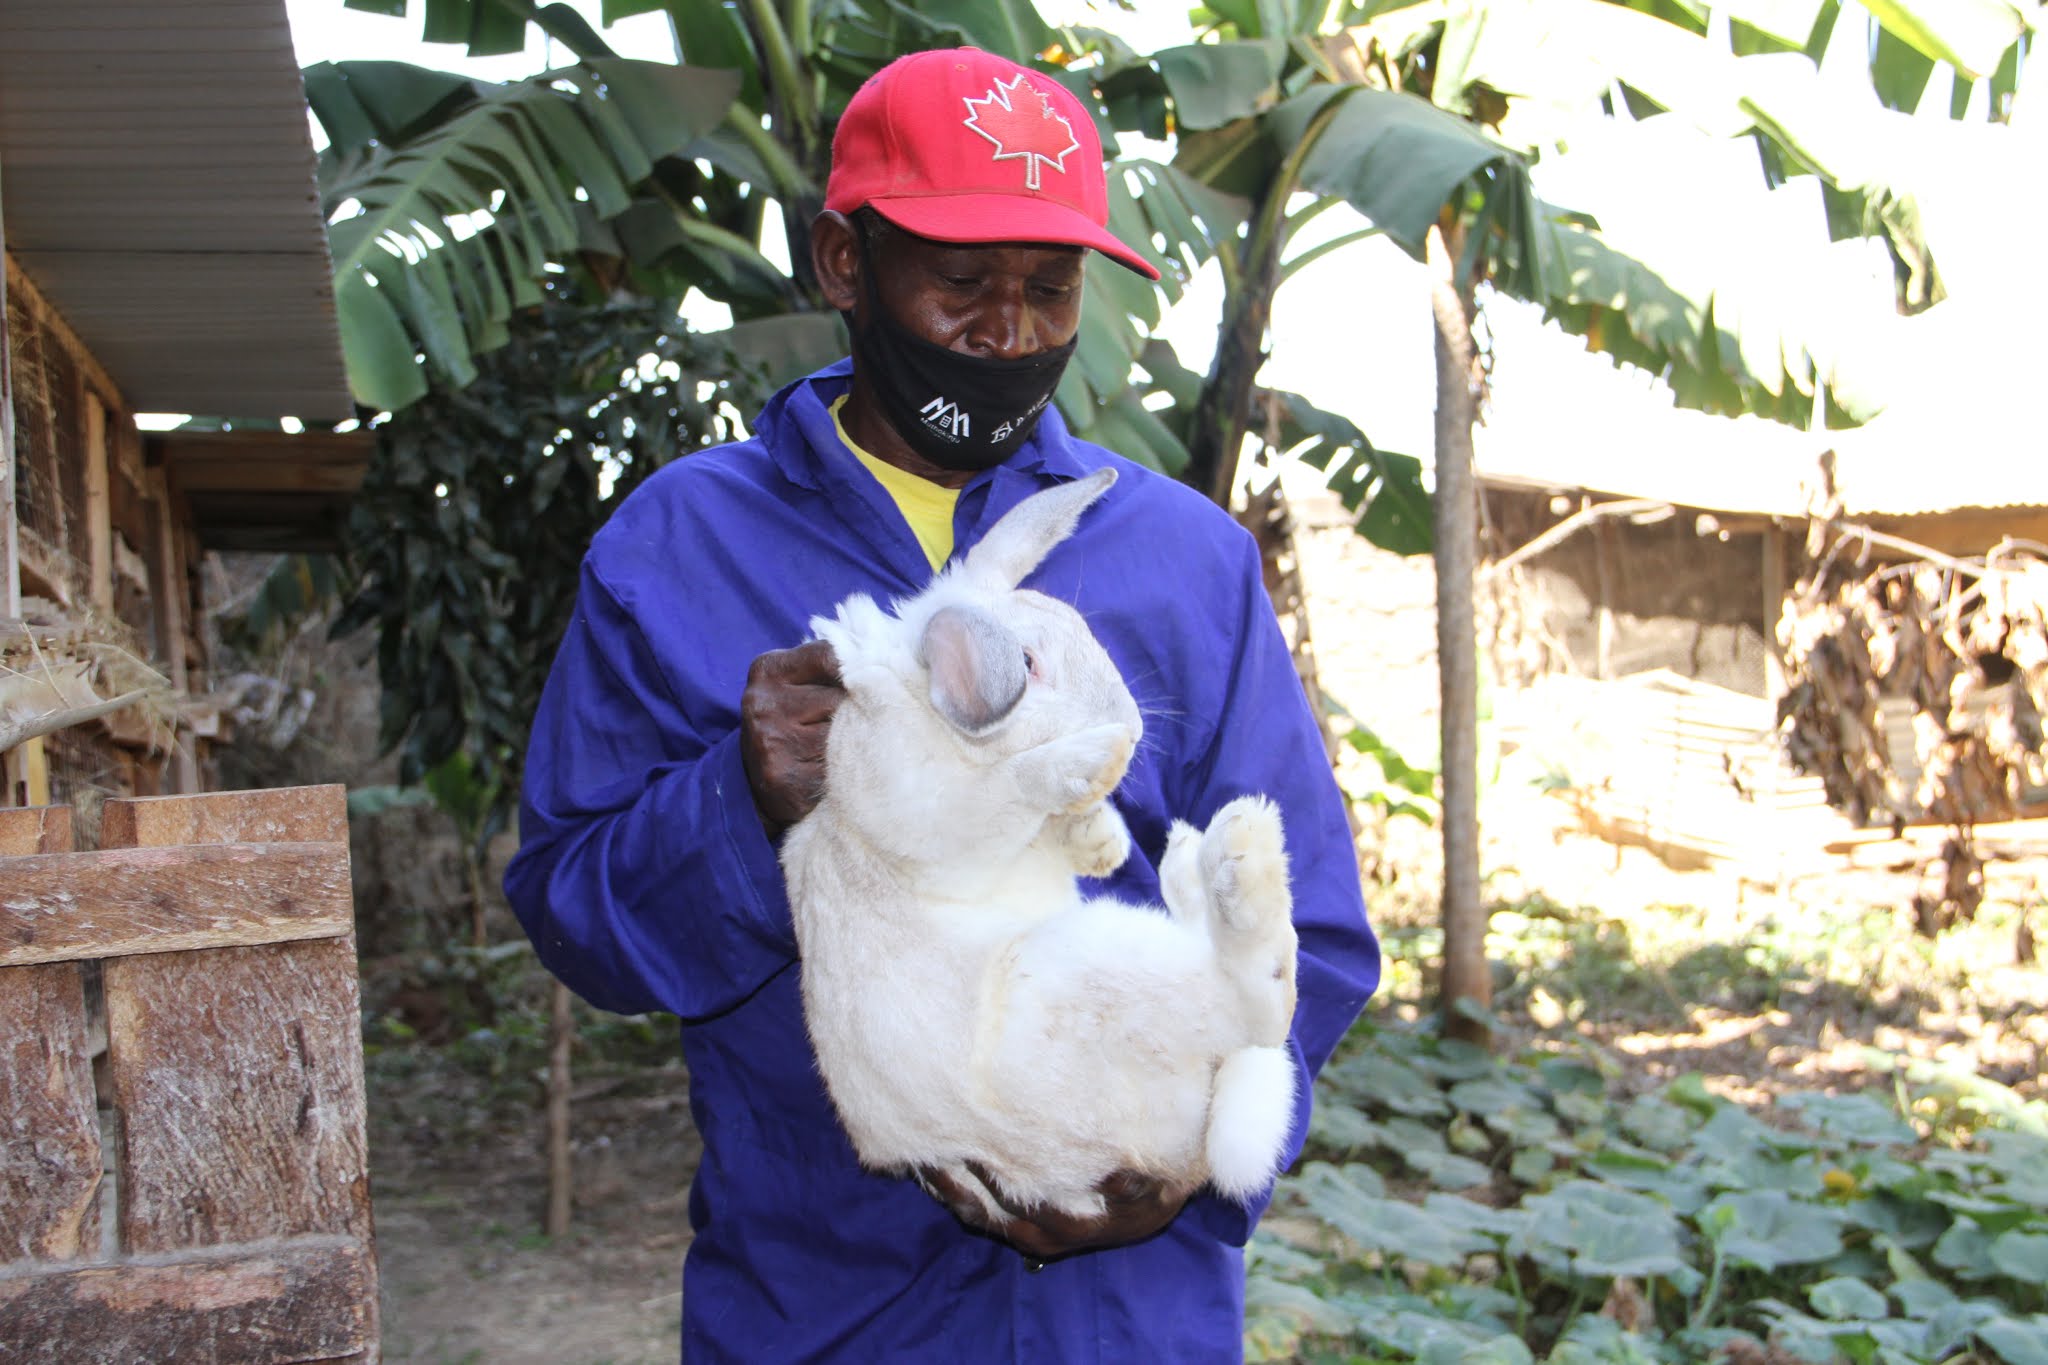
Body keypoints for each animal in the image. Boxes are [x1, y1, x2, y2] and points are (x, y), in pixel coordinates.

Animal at [780, 466, 1300, 1223]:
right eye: (1026, 664)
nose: (1132, 729)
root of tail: (1189, 1147)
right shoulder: (922, 814)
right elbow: (1008, 789)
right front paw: (1095, 761)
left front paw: (1102, 840)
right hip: (1084, 981)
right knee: (1251, 999)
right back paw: (1242, 852)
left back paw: (1191, 857)